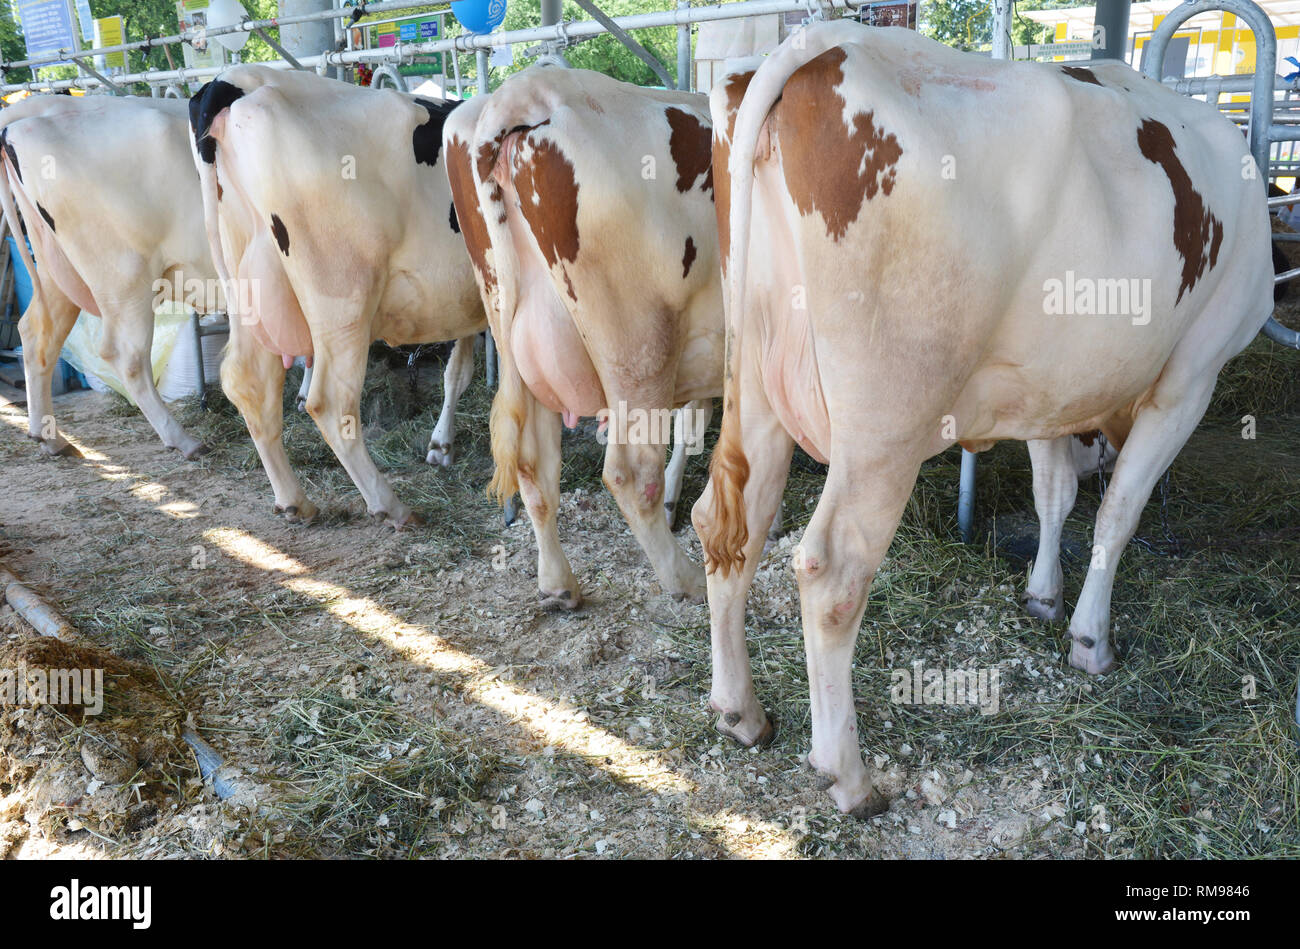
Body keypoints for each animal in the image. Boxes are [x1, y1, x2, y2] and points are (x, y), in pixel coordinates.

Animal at [0, 95, 220, 459]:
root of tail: (39, 106)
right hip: (125, 278)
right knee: (125, 355)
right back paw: (183, 440)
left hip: (56, 267)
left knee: (37, 334)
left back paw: (50, 438)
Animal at [189, 66, 485, 527]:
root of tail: (232, 80)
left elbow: (458, 369)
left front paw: (441, 445)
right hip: (343, 298)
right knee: (330, 401)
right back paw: (391, 505)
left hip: (250, 282)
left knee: (247, 383)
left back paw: (294, 501)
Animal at [444, 67, 723, 607]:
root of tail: (528, 87)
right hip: (640, 347)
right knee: (630, 472)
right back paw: (686, 579)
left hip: (516, 330)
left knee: (533, 465)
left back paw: (558, 584)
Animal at [692, 22, 1272, 816]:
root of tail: (827, 40)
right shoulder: (1191, 378)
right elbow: (1118, 512)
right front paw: (1090, 639)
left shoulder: (1052, 389)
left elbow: (1055, 493)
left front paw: (1043, 594)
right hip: (885, 422)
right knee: (832, 571)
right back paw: (848, 775)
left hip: (757, 382)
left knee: (729, 523)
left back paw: (739, 711)